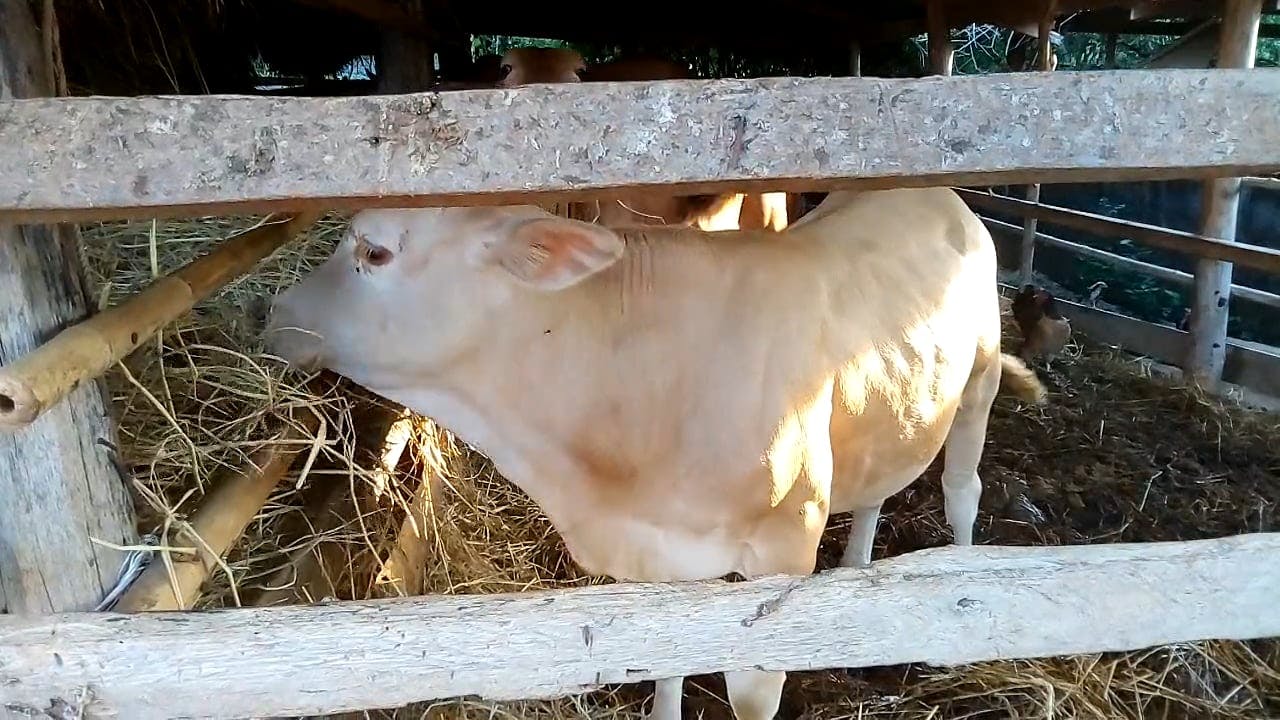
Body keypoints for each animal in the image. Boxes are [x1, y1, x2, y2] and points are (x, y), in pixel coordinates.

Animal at [265, 186, 1046, 720]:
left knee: (963, 490)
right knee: (881, 482)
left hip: (980, 375)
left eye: (373, 250)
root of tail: (938, 191)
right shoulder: (663, 563)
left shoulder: (785, 542)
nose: (267, 313)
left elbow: (751, 690)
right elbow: (665, 661)